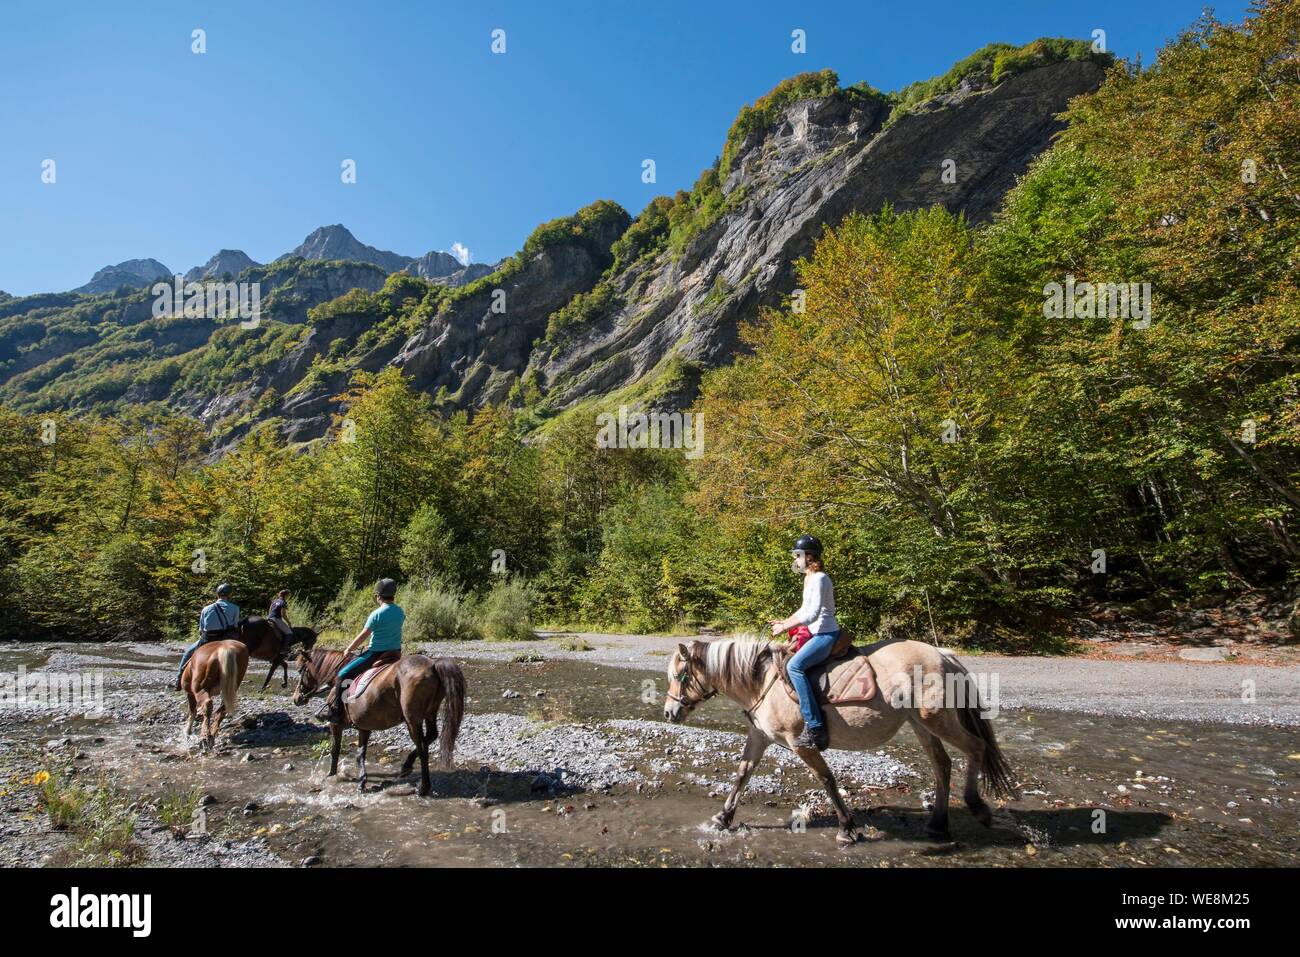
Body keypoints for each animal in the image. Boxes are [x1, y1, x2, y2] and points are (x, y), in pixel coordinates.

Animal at [291, 648, 465, 797]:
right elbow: (360, 754)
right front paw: (362, 781)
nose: (297, 698)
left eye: (300, 670)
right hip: (429, 713)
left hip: (412, 720)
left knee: (422, 747)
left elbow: (335, 750)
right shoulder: (364, 727)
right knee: (431, 736)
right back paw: (406, 767)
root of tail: (433, 664)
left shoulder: (336, 725)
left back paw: (423, 787)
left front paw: (331, 775)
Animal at [663, 636, 1017, 845]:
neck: (763, 682)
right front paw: (722, 819)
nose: (669, 712)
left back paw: (977, 807)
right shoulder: (759, 737)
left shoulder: (801, 744)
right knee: (942, 765)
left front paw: (847, 828)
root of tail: (942, 655)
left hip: (936, 719)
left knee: (976, 748)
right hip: (922, 724)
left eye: (680, 675)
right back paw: (939, 824)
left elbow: (827, 779)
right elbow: (742, 774)